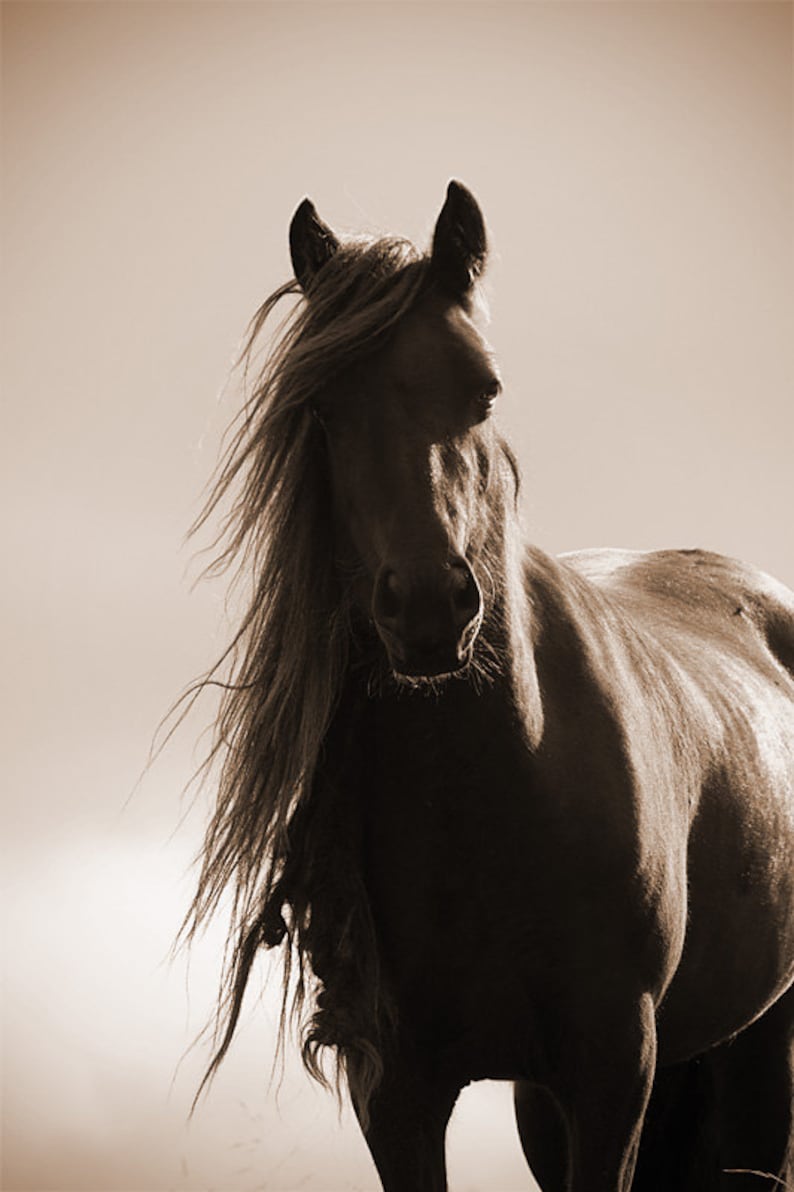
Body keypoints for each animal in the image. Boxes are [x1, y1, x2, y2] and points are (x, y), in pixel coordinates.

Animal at [185, 181, 794, 1191]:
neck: (493, 793)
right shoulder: (396, 1090)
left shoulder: (612, 1067)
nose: (430, 605)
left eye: (486, 389)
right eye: (323, 408)